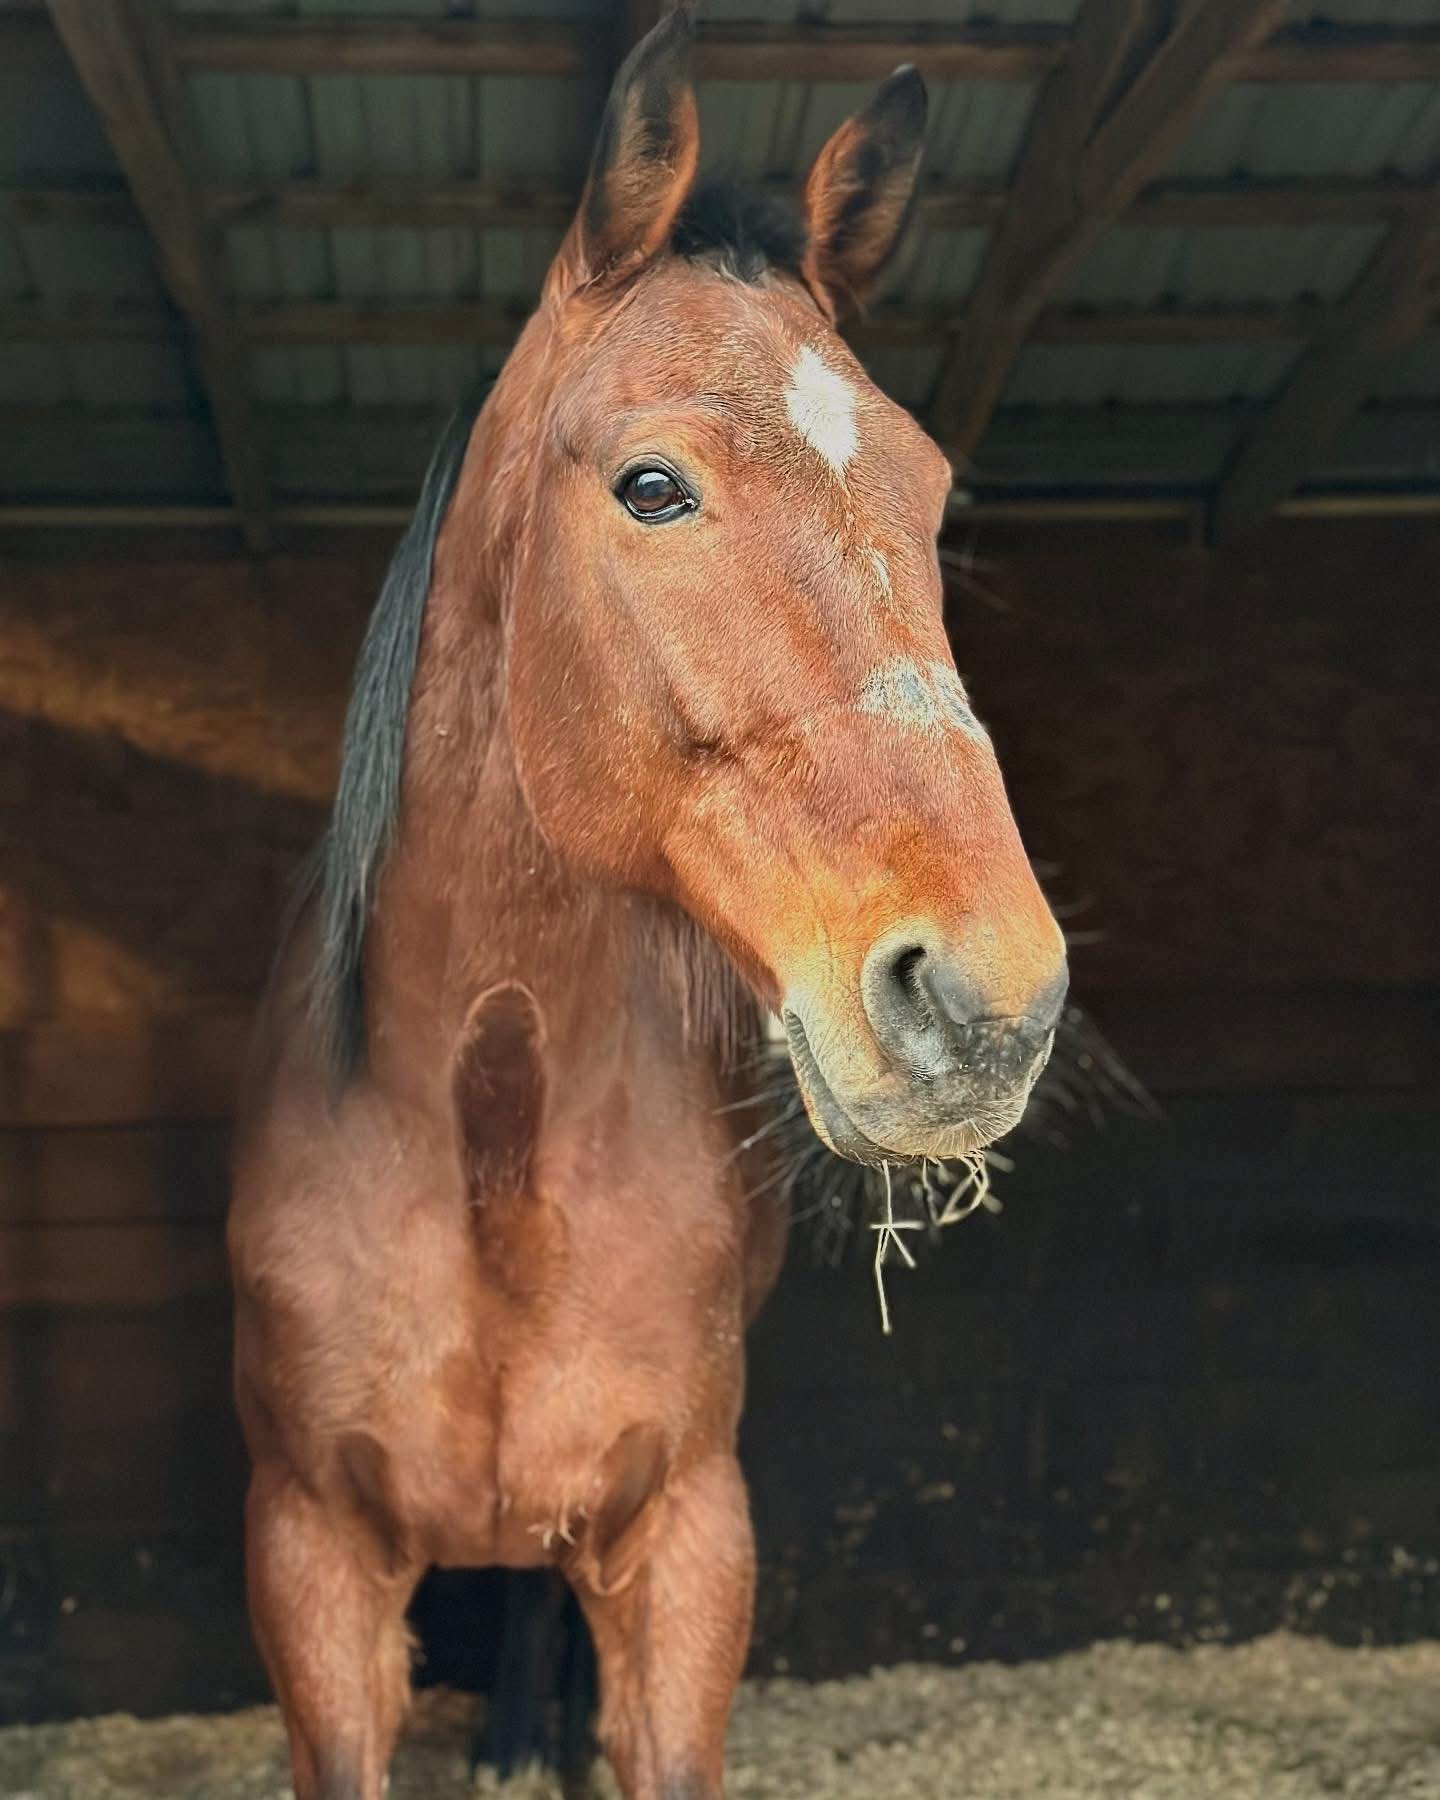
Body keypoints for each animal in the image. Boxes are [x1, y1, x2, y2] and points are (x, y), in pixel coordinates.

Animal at [228, 9, 1068, 1797]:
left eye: (933, 499)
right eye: (655, 486)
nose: (987, 1004)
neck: (490, 1113)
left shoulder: (688, 1547)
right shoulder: (311, 1567)